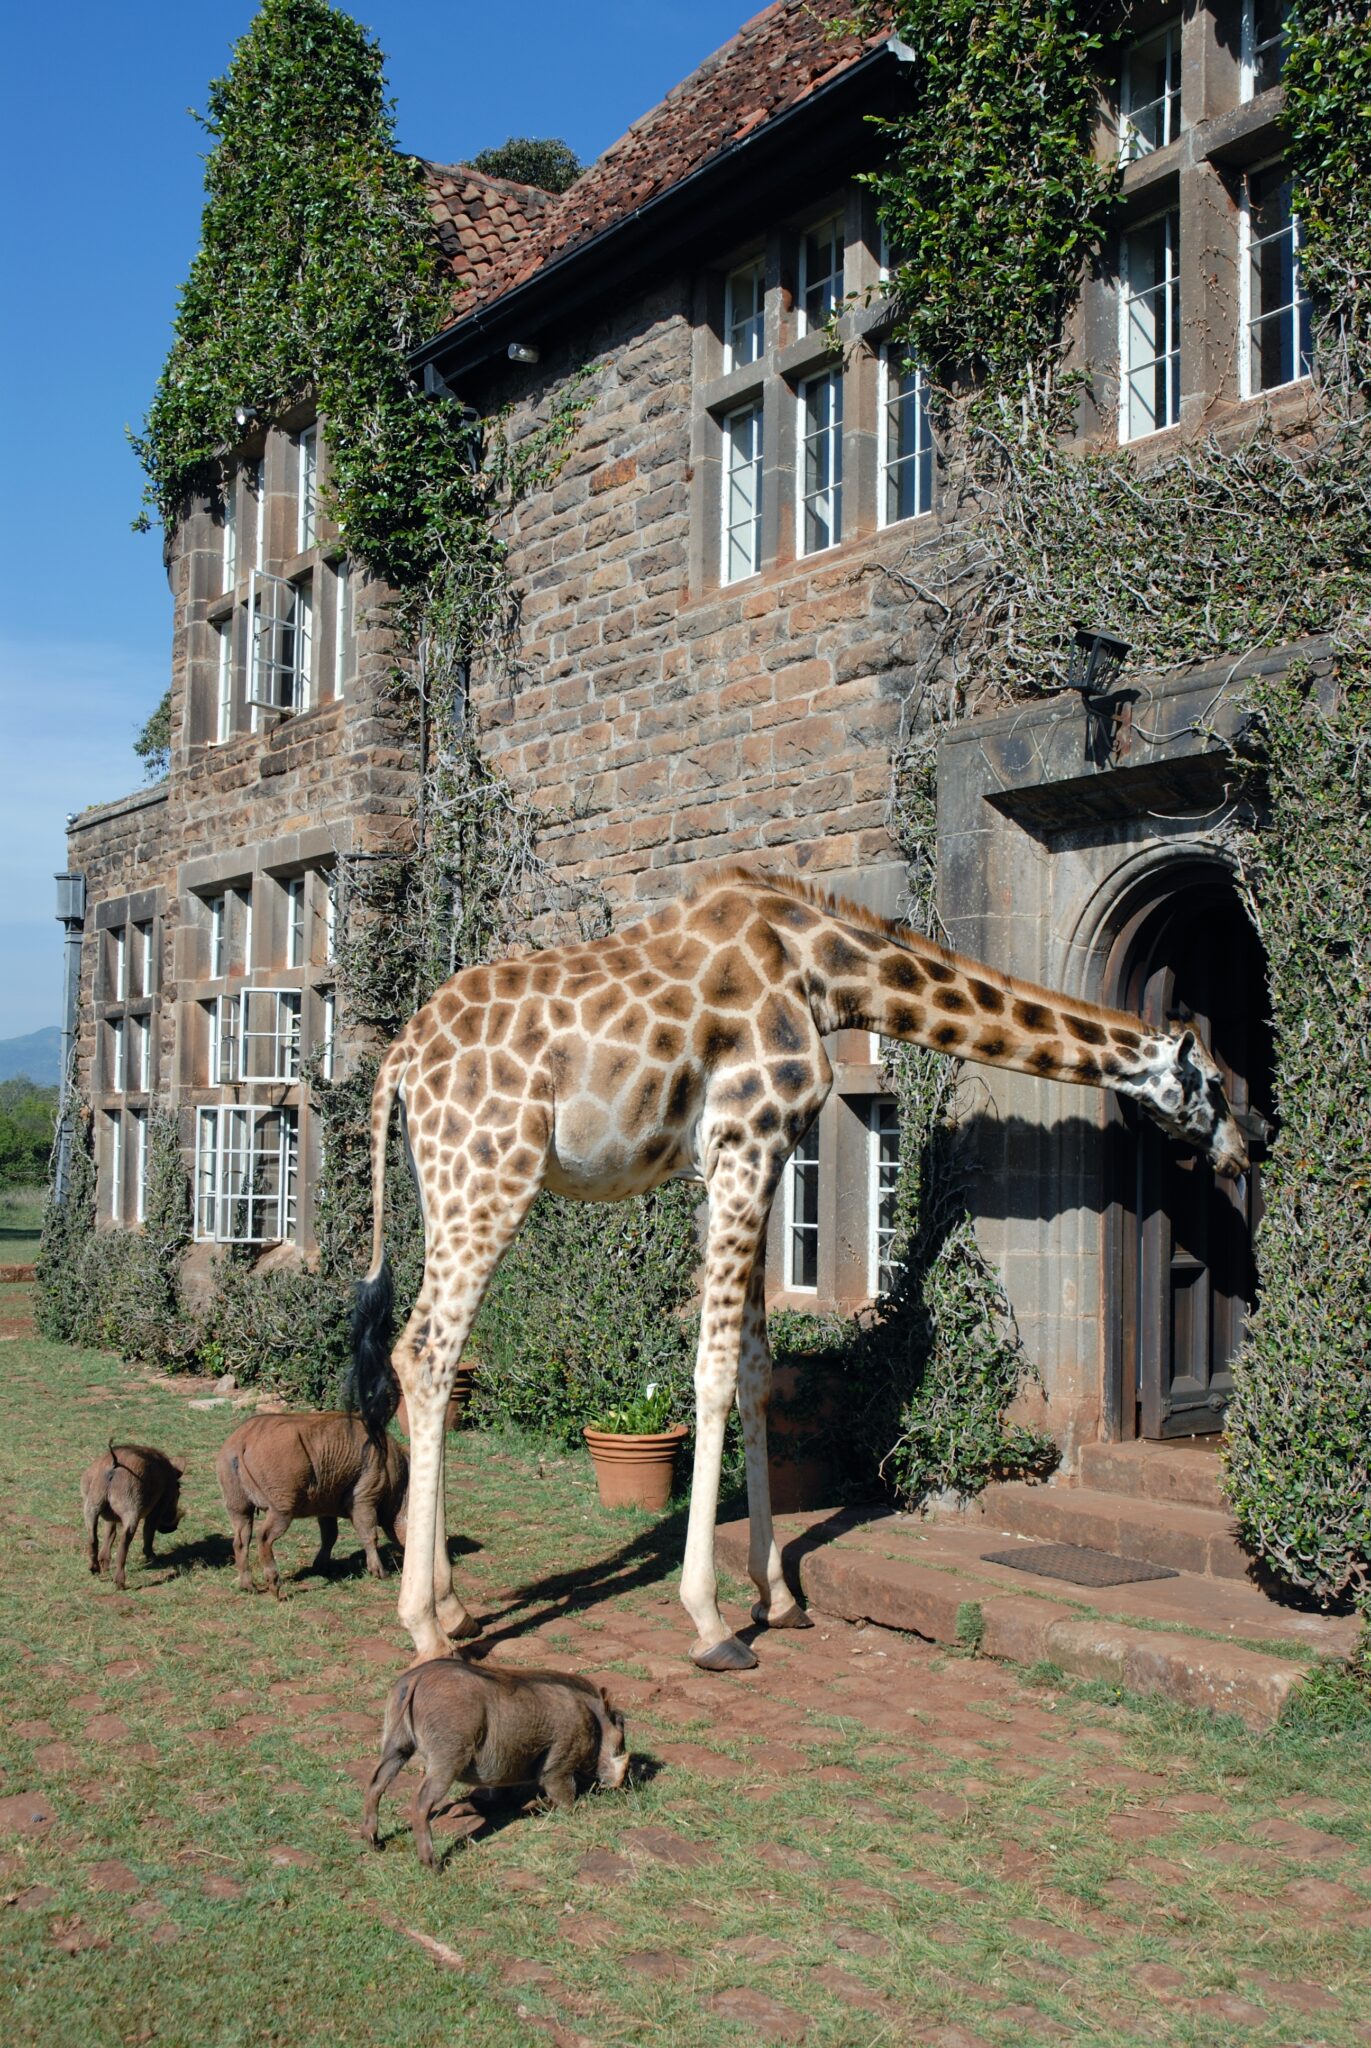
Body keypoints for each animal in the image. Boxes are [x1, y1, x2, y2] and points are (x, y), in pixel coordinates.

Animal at [352, 865, 1248, 1672]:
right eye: (1210, 1081)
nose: (1244, 1151)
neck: (820, 970)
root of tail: (401, 1059)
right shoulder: (745, 1140)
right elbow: (713, 1370)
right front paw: (710, 1622)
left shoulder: (747, 1162)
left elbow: (756, 1370)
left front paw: (775, 1596)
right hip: (491, 1175)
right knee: (430, 1351)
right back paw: (426, 1628)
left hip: (442, 1185)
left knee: (414, 1351)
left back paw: (455, 1608)